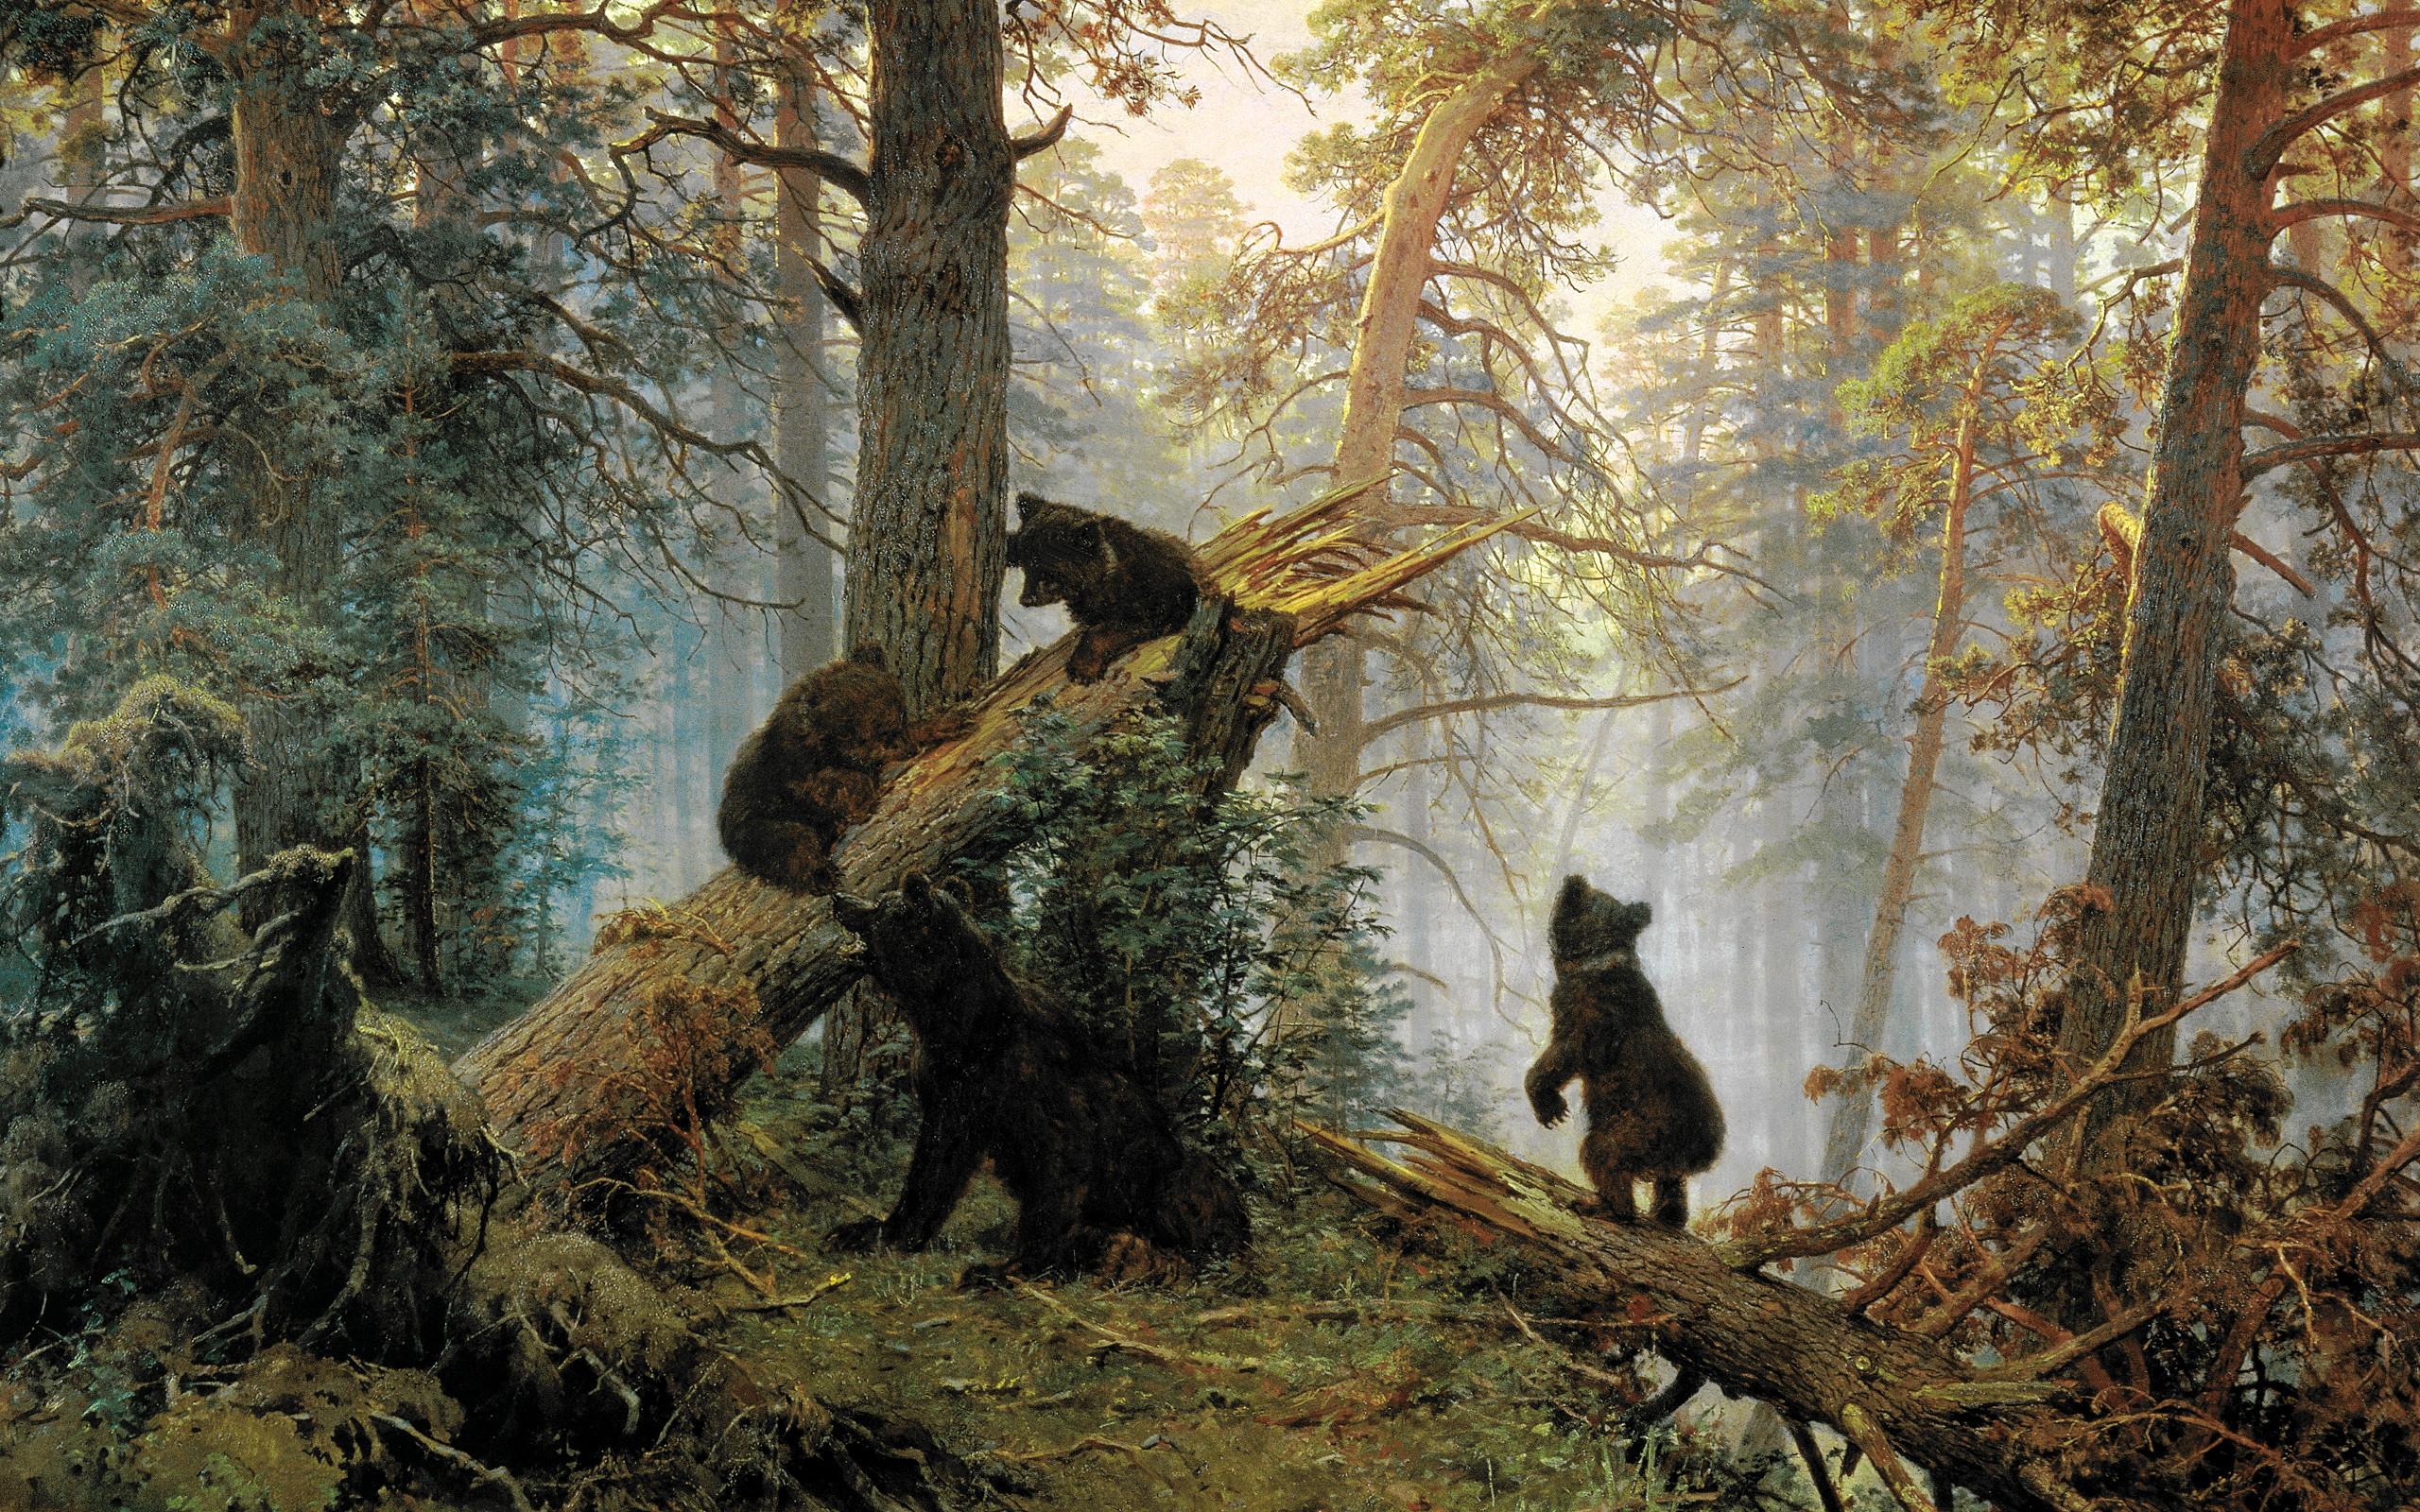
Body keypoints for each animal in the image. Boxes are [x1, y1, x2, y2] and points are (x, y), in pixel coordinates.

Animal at [716, 644, 962, 893]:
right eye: (881, 735)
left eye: (901, 717)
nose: (910, 749)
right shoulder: (796, 775)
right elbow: (834, 783)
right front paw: (859, 801)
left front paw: (944, 724)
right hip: (759, 827)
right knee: (792, 844)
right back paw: (821, 872)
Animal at [827, 873, 1250, 1279]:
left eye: (882, 905)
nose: (838, 898)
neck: (958, 1021)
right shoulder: (948, 1096)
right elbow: (932, 1169)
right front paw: (875, 1231)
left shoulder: (1042, 1099)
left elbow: (1055, 1183)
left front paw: (1008, 1269)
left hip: (1171, 1177)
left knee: (1197, 1190)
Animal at [1005, 493, 1201, 683]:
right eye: (1026, 568)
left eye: (1049, 573)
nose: (1026, 600)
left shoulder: (1151, 608)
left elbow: (1100, 631)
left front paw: (1083, 667)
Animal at [1524, 875, 1724, 1225]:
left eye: (1591, 900)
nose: (1574, 881)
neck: (1592, 960)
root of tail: (1708, 1143)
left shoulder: (1590, 1018)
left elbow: (1564, 1054)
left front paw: (1549, 1105)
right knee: (1670, 1178)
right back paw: (1667, 1215)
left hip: (1647, 1128)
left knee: (1605, 1152)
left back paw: (1605, 1207)